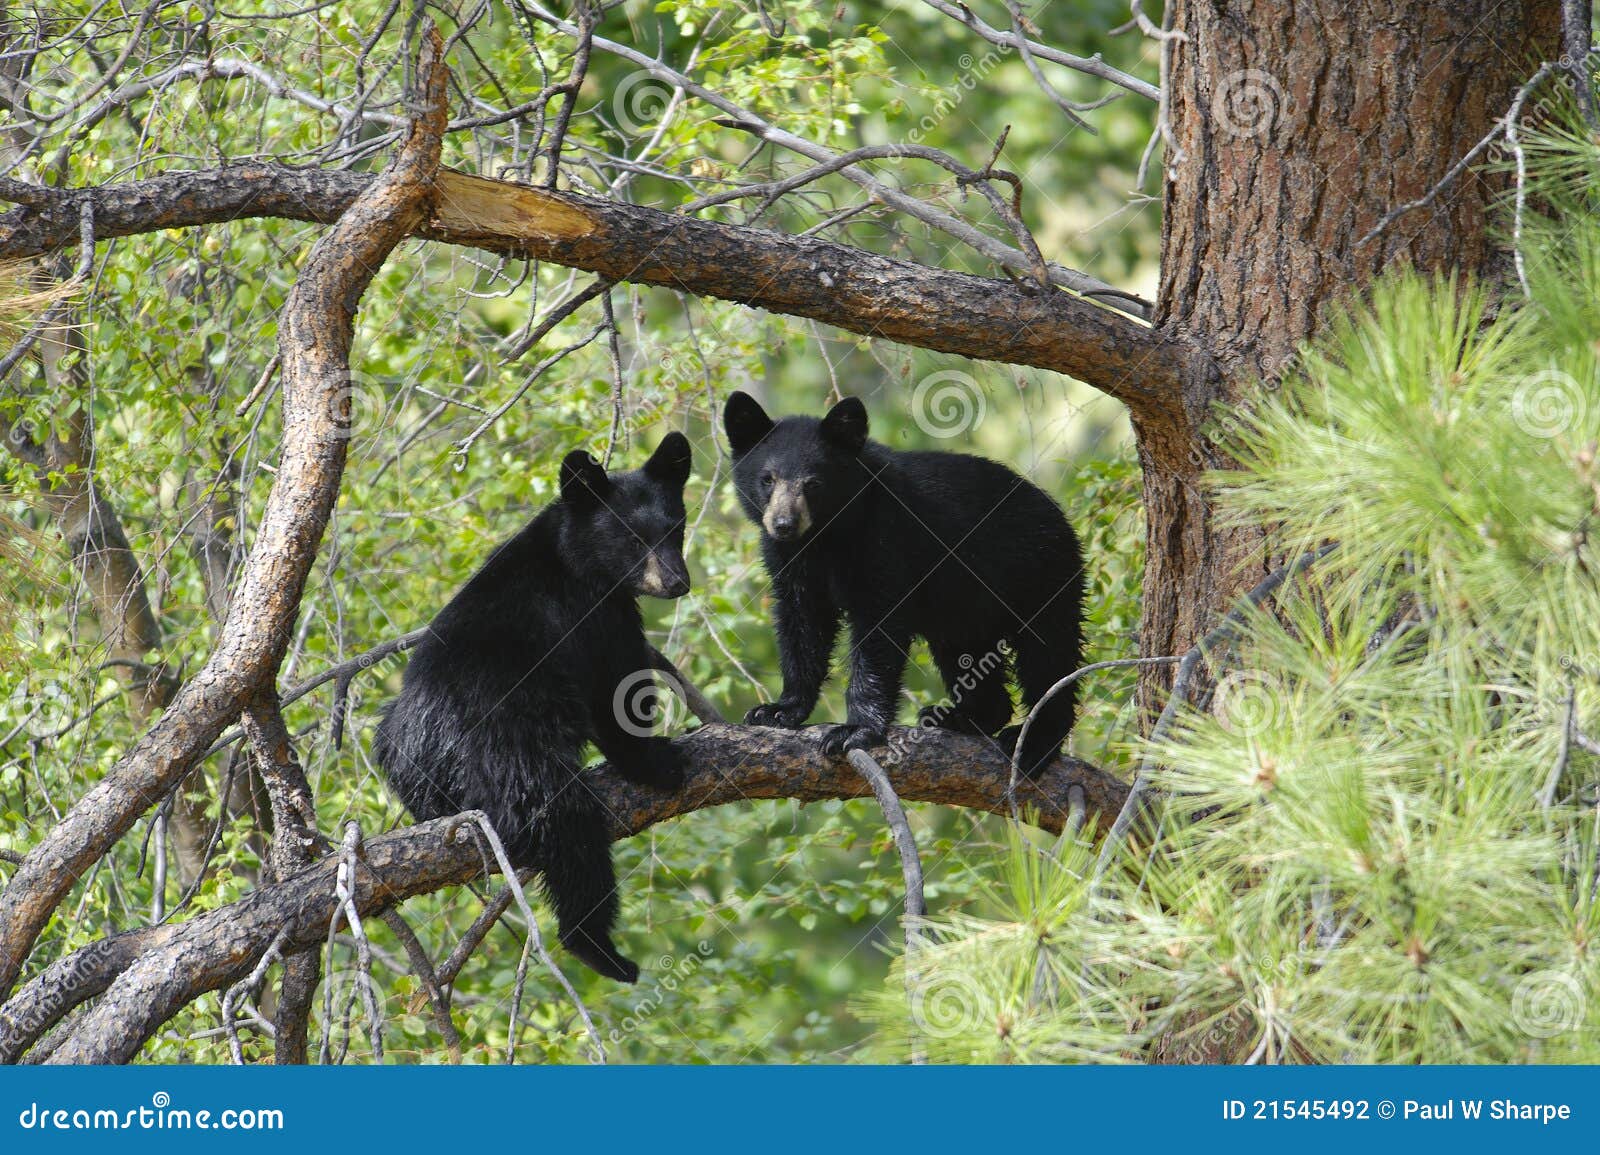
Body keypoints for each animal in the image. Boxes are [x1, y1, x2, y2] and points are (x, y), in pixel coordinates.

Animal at [372, 433, 693, 983]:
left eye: (677, 529)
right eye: (633, 539)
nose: (677, 582)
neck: (572, 556)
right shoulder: (592, 616)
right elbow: (616, 692)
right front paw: (660, 761)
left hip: (396, 742)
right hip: (514, 754)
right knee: (570, 823)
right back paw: (598, 947)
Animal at [723, 391, 1084, 778]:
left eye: (813, 483)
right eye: (767, 479)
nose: (784, 524)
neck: (827, 536)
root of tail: (1059, 514)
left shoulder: (888, 538)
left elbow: (878, 630)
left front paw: (855, 729)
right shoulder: (789, 562)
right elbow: (801, 625)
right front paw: (779, 709)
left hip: (1041, 575)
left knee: (1049, 657)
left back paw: (1033, 741)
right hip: (964, 610)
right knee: (967, 655)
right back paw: (964, 717)